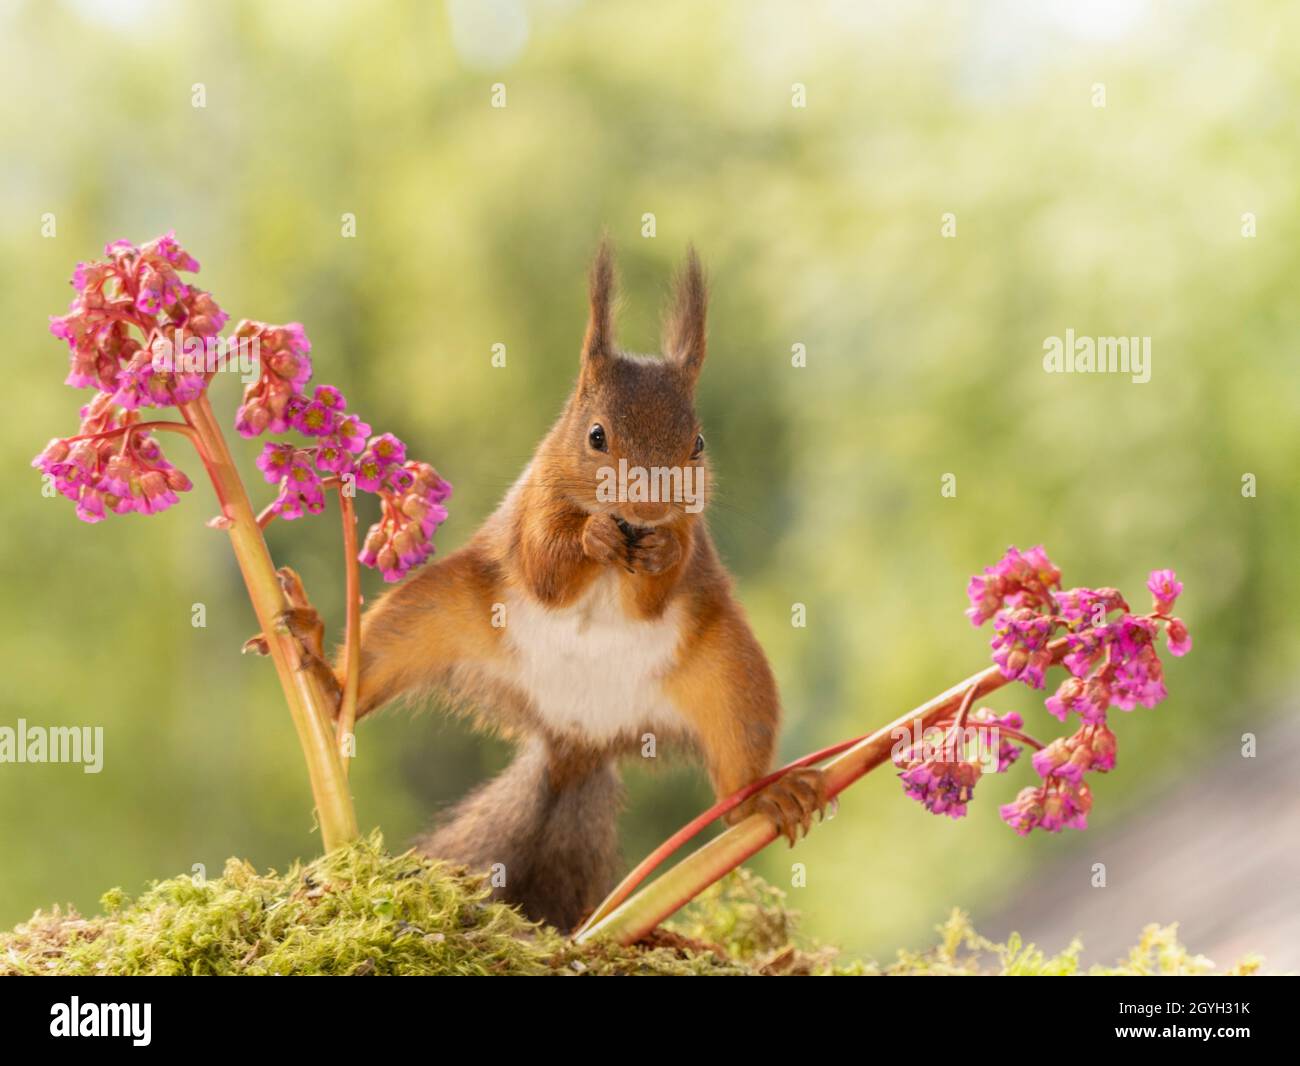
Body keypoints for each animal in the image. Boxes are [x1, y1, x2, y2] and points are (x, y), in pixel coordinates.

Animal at [282, 241, 828, 931]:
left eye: (698, 443)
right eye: (596, 436)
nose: (647, 510)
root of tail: (578, 737)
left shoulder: (691, 543)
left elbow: (659, 588)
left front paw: (659, 552)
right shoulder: (530, 513)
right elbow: (546, 568)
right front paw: (590, 538)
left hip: (730, 682)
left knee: (735, 790)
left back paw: (769, 798)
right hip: (431, 613)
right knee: (363, 676)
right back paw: (317, 663)